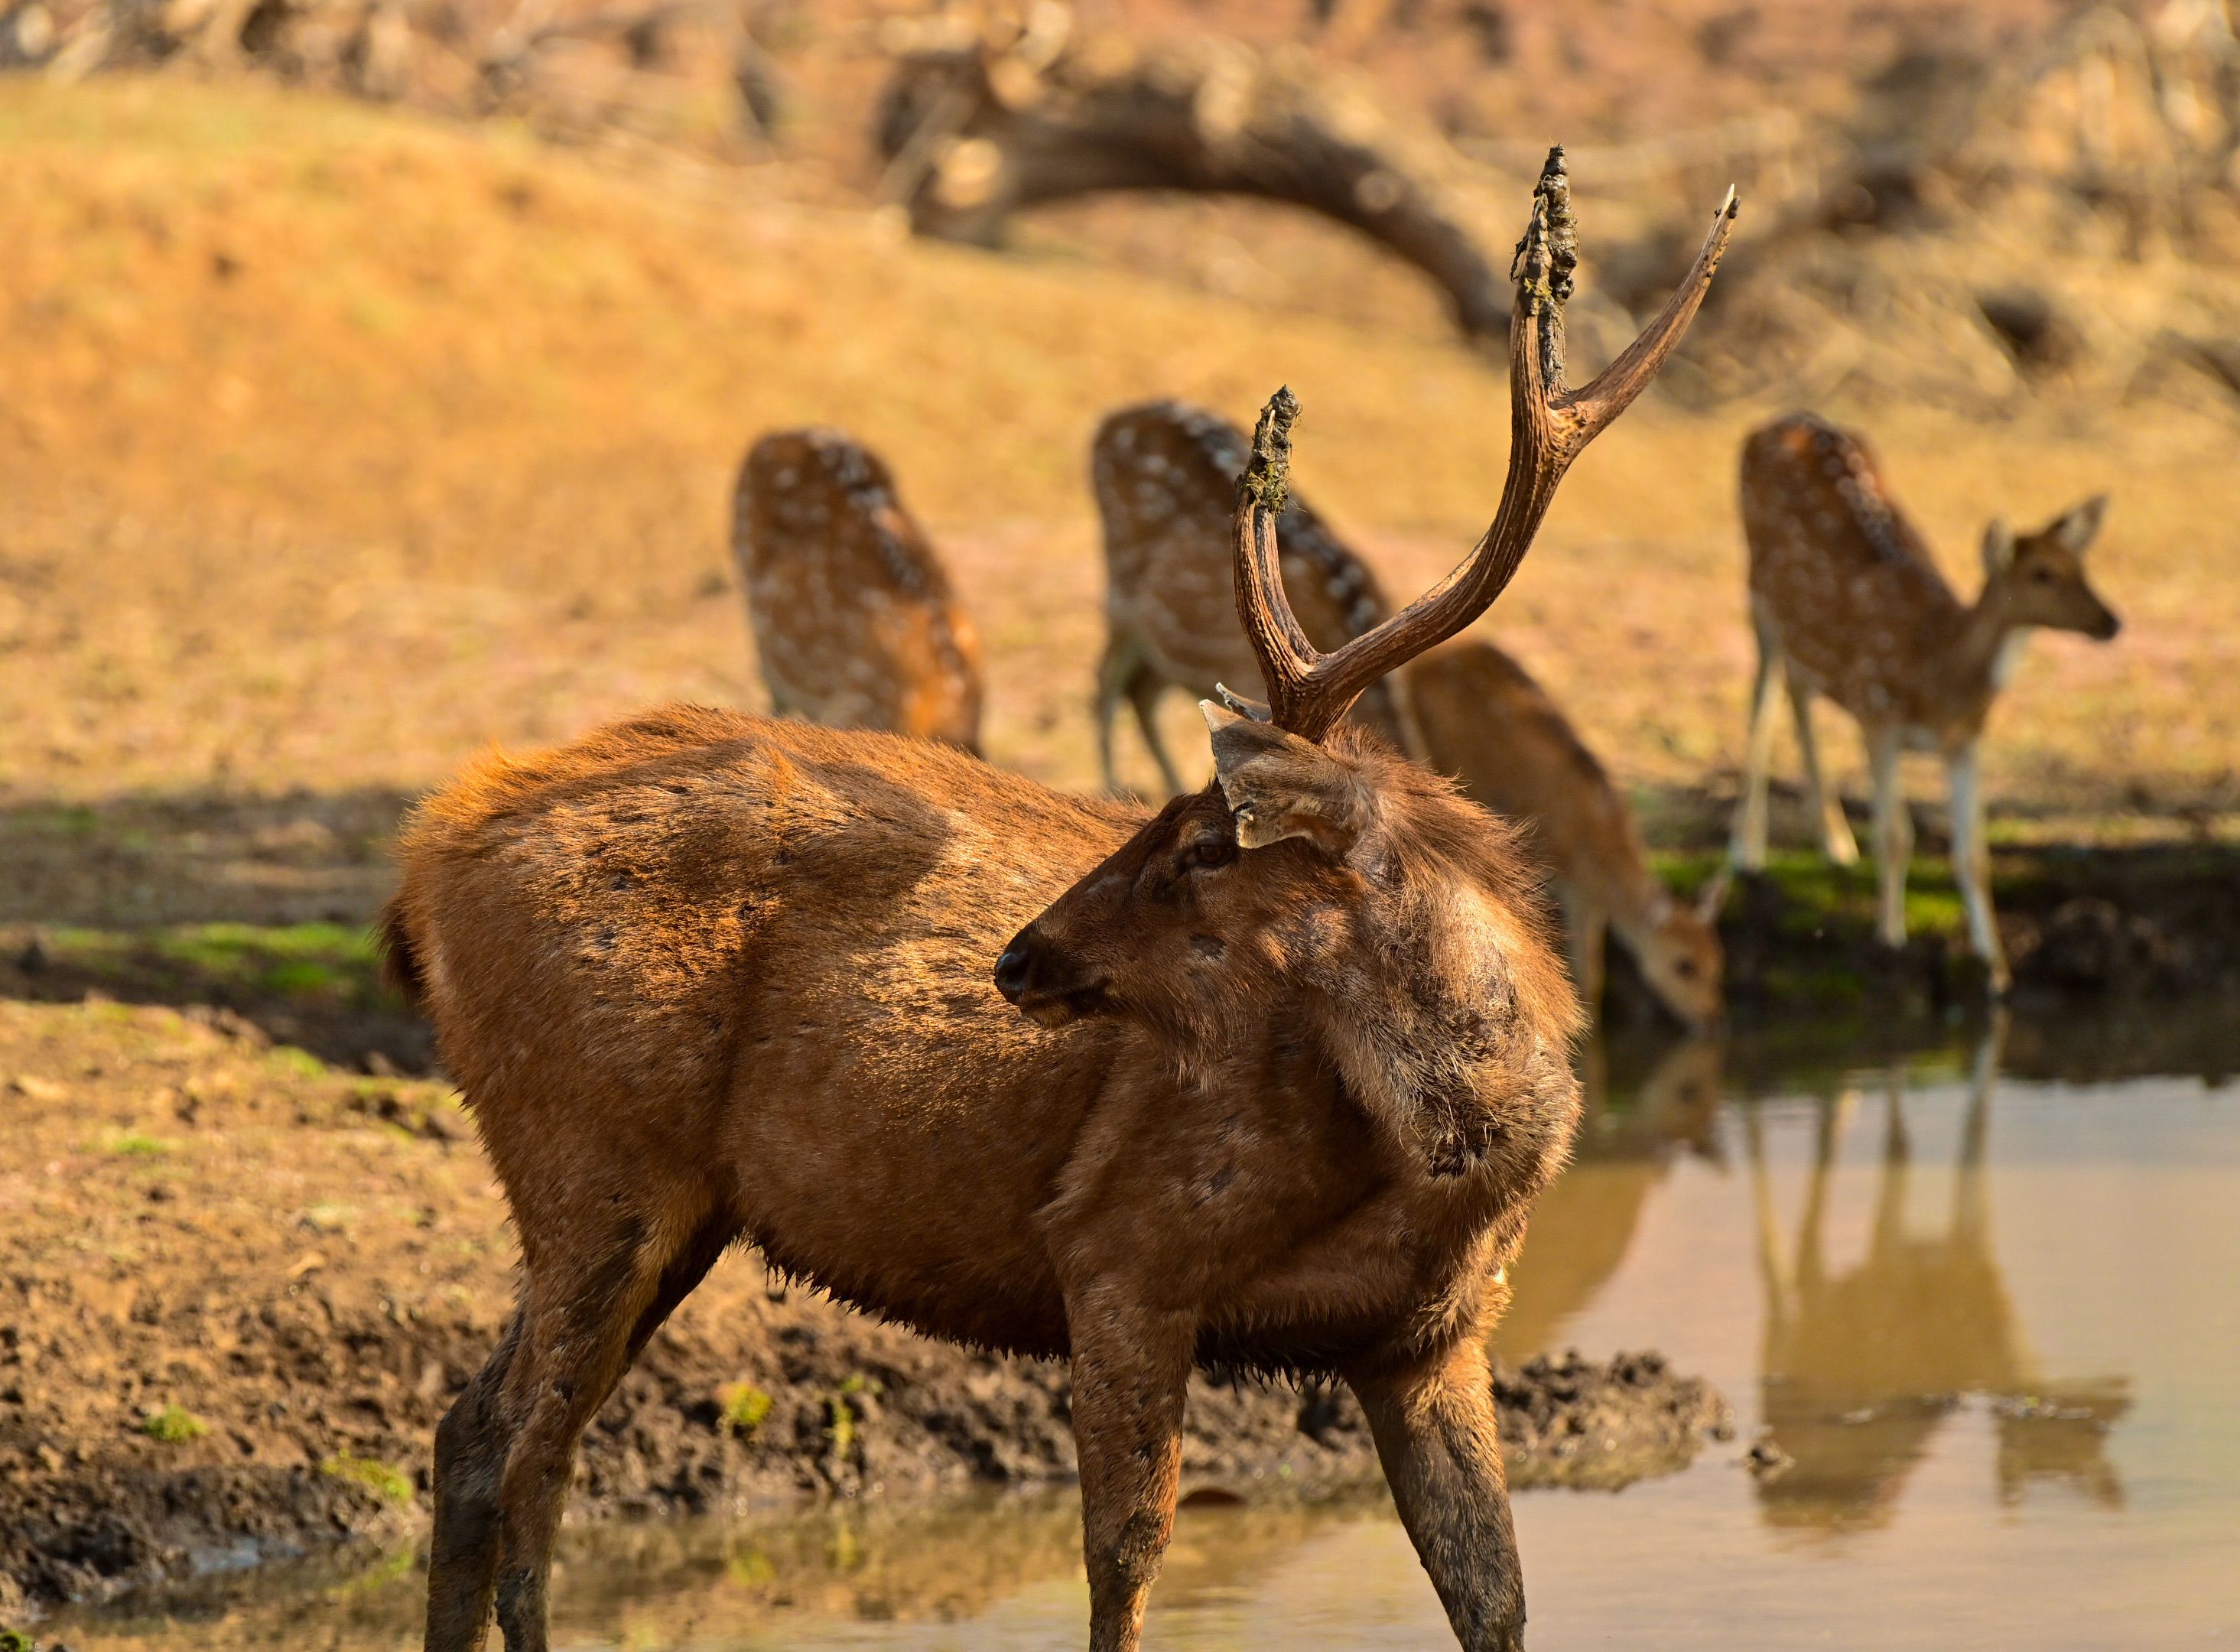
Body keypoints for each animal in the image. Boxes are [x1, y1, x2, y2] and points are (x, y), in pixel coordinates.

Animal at [1727, 413, 2120, 993]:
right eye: (2042, 574)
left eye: (2083, 565)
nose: (2112, 621)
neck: (1935, 676)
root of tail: (1781, 420)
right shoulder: (1877, 714)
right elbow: (1895, 835)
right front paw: (1891, 940)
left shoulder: (1967, 741)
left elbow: (1973, 854)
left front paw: (1995, 968)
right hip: (1756, 591)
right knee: (1763, 692)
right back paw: (1746, 850)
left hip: (1797, 622)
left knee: (1797, 686)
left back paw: (1835, 843)